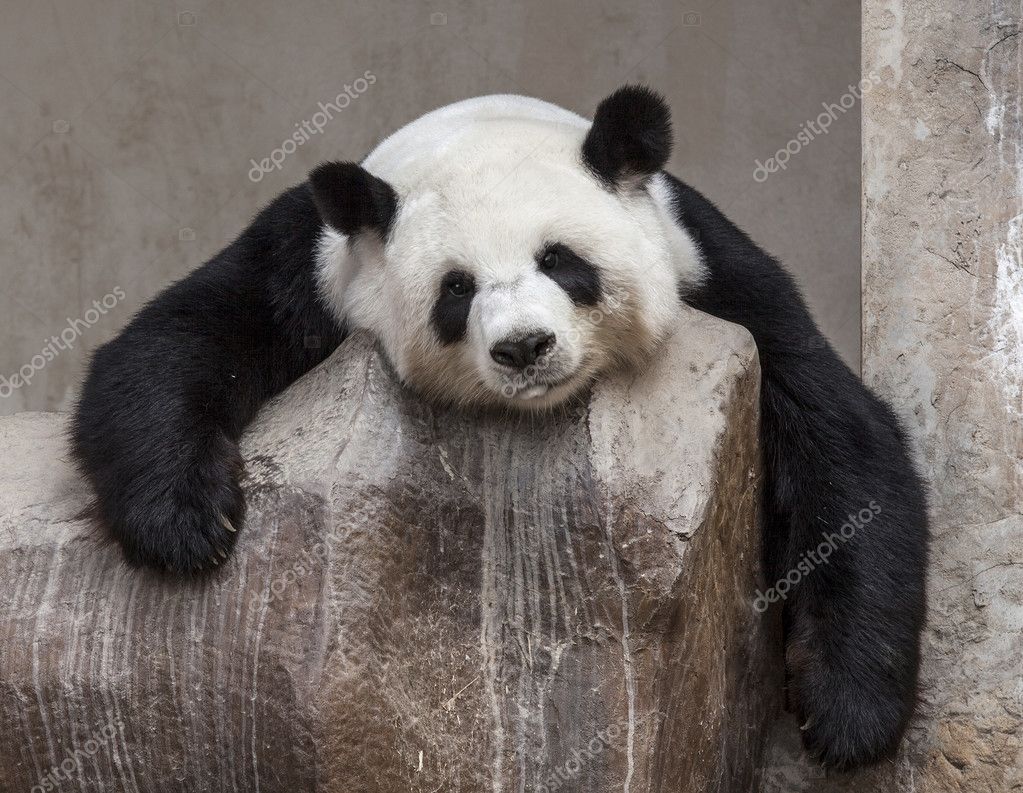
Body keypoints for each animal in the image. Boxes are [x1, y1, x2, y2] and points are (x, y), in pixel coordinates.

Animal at [71, 86, 928, 771]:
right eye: (457, 289)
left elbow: (838, 440)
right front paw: (186, 522)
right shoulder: (312, 264)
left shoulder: (709, 270)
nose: (523, 346)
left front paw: (847, 715)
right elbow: (177, 338)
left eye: (560, 260)